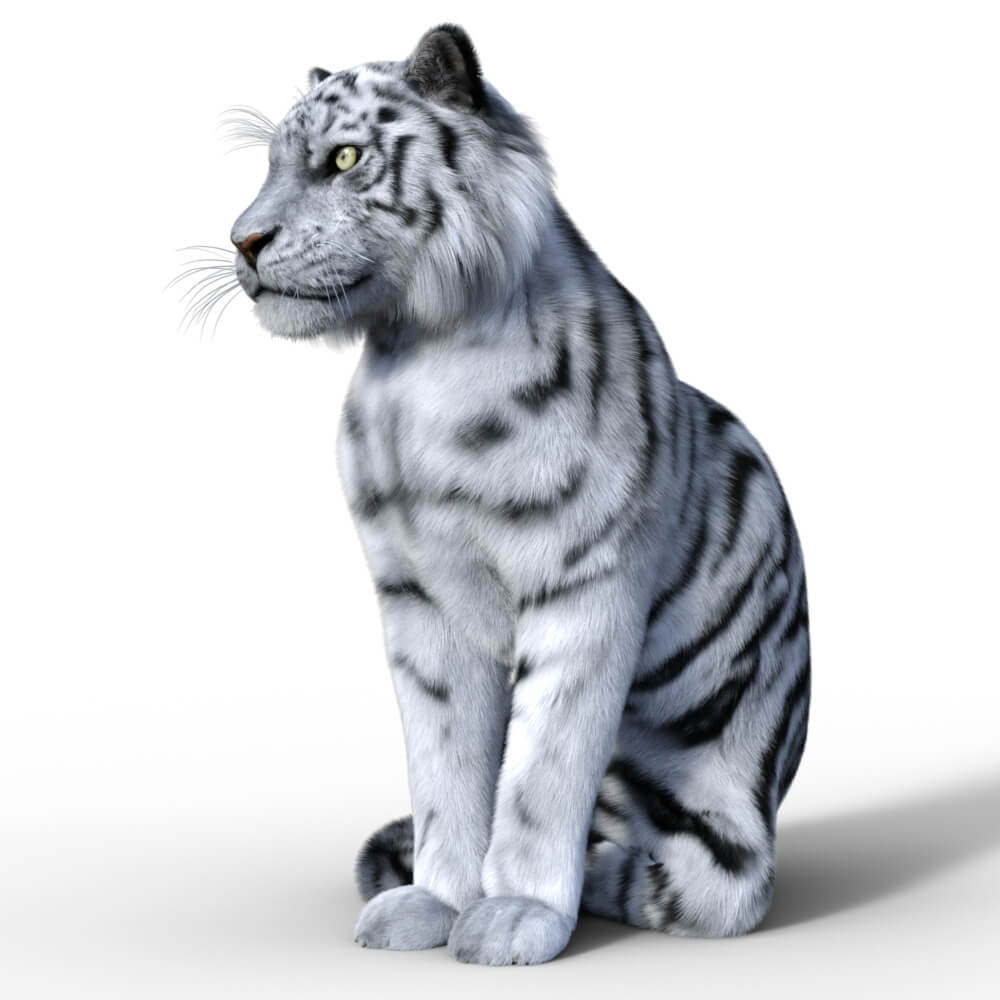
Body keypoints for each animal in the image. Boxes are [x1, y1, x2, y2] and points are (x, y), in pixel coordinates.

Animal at [221, 23, 810, 965]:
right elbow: (446, 763)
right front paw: (433, 901)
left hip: (722, 806)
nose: (243, 241)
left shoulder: (584, 587)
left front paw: (515, 915)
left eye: (344, 158)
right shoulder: (420, 600)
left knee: (708, 885)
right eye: (270, 165)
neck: (419, 353)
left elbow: (540, 773)